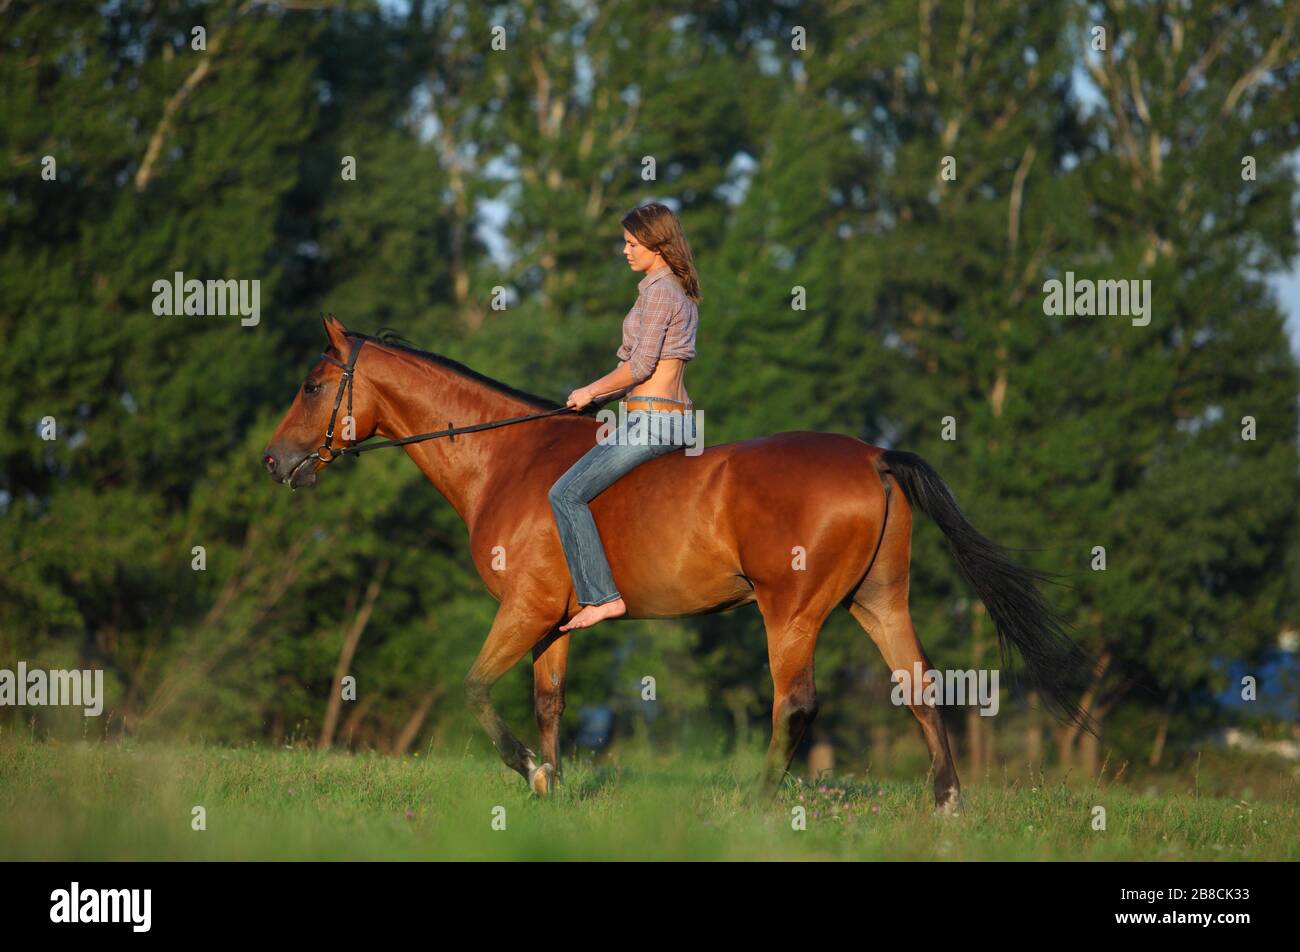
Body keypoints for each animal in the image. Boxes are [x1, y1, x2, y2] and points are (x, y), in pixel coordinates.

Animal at [264, 316, 1091, 813]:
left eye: (312, 383)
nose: (273, 462)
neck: (507, 459)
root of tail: (871, 456)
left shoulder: (523, 610)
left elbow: (475, 690)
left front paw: (530, 771)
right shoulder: (552, 623)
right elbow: (549, 703)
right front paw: (551, 787)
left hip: (793, 612)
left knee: (795, 703)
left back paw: (758, 804)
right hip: (878, 602)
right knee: (919, 688)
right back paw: (945, 804)